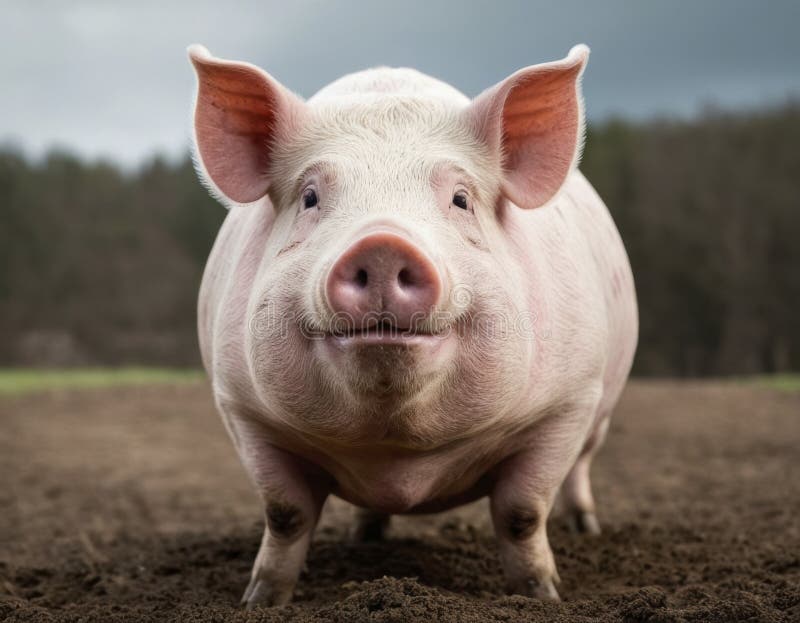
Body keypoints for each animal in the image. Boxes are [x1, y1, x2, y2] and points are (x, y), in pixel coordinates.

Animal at [188, 42, 638, 608]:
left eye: (461, 199)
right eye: (310, 197)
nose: (382, 244)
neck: (398, 457)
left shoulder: (569, 403)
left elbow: (521, 513)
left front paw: (544, 597)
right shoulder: (243, 410)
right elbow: (285, 514)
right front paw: (260, 602)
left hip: (600, 416)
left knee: (581, 469)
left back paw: (587, 528)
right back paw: (366, 537)